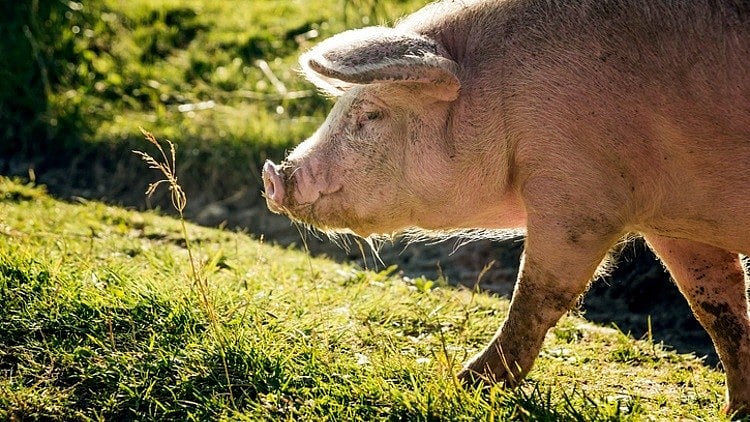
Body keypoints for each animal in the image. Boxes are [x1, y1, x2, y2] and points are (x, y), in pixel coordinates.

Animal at [262, 0, 750, 414]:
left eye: (371, 115)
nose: (274, 175)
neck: (501, 100)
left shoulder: (578, 195)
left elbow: (536, 296)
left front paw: (459, 385)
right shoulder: (673, 224)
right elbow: (716, 304)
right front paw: (735, 410)